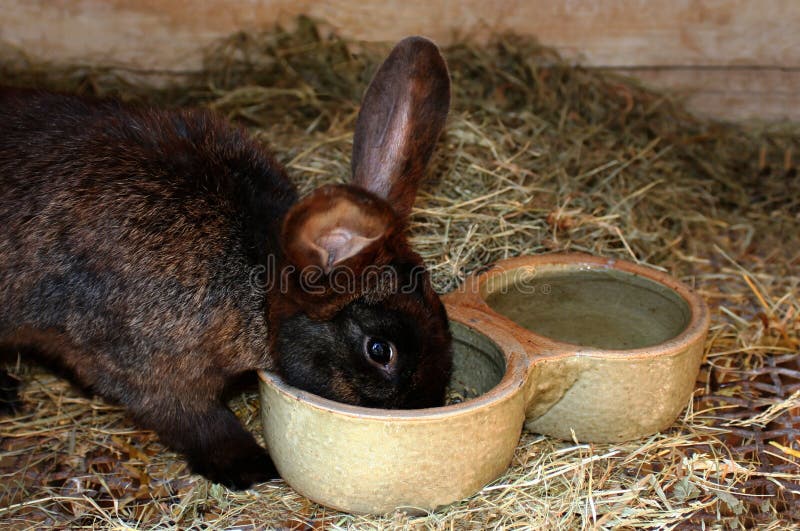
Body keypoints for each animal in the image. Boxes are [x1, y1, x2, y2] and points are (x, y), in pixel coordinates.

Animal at [0, 36, 453, 489]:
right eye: (380, 350)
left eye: (442, 315)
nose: (421, 405)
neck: (256, 281)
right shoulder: (151, 373)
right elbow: (200, 423)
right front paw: (251, 467)